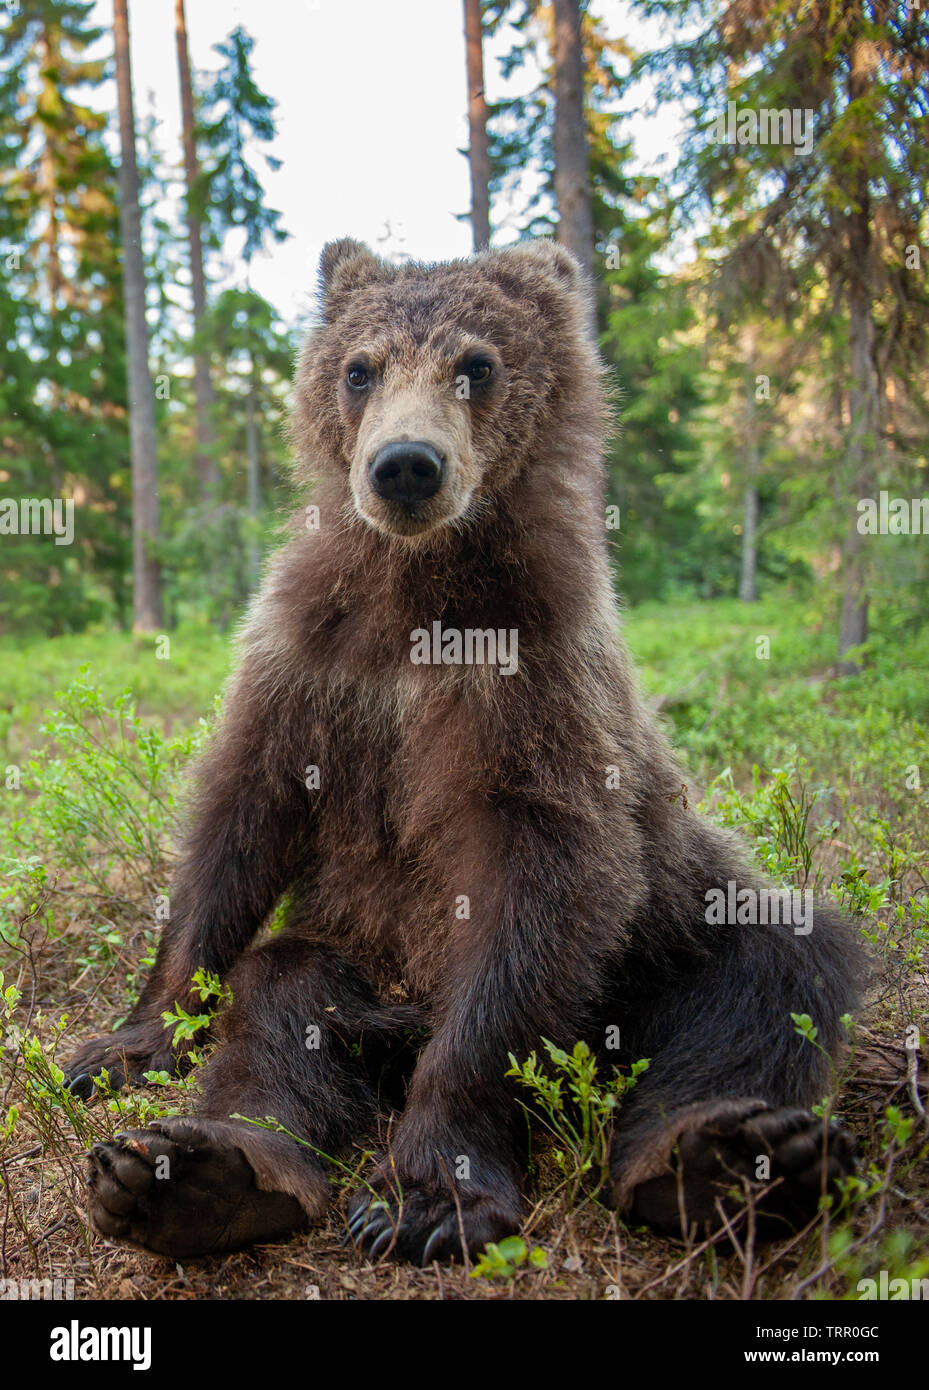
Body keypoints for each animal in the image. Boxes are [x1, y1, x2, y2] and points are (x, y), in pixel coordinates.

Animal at [67, 238, 861, 1263]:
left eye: (475, 365)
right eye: (360, 369)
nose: (405, 465)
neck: (416, 594)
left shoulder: (529, 685)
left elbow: (541, 875)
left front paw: (429, 1198)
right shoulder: (310, 665)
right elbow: (239, 825)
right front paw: (123, 1046)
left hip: (668, 936)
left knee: (772, 973)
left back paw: (720, 1158)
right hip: (364, 962)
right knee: (284, 1003)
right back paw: (206, 1173)